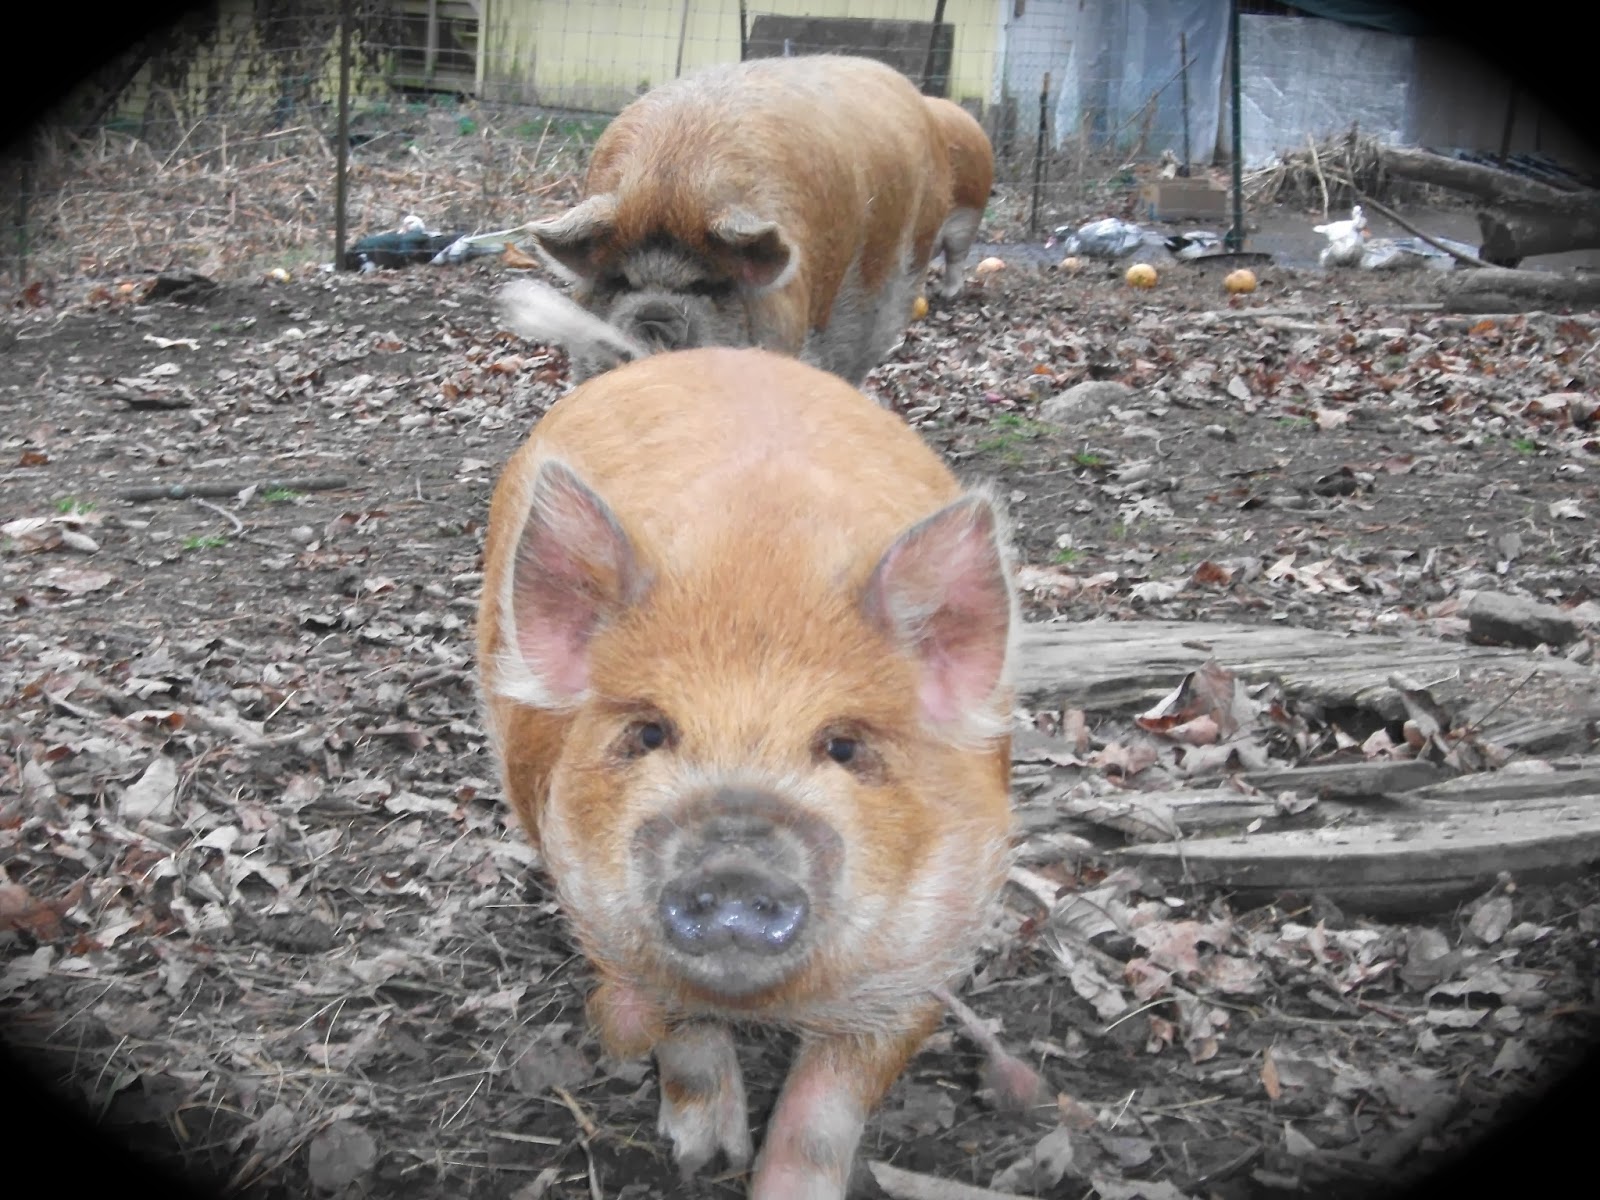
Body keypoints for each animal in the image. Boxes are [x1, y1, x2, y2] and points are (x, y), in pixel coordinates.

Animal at [476, 343, 1017, 1198]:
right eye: (650, 732)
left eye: (843, 747)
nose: (734, 859)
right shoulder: (596, 910)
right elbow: (680, 1033)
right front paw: (701, 1159)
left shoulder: (931, 951)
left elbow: (825, 1113)